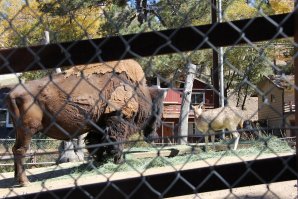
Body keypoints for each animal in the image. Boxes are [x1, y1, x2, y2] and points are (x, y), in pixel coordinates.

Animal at [4, 59, 163, 187]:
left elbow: (97, 143)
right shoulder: (117, 122)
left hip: (19, 131)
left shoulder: (99, 126)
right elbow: (116, 142)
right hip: (28, 130)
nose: (154, 136)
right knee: (21, 151)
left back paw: (16, 179)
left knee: (15, 149)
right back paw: (25, 182)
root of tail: (12, 93)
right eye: (158, 110)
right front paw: (119, 161)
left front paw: (100, 161)